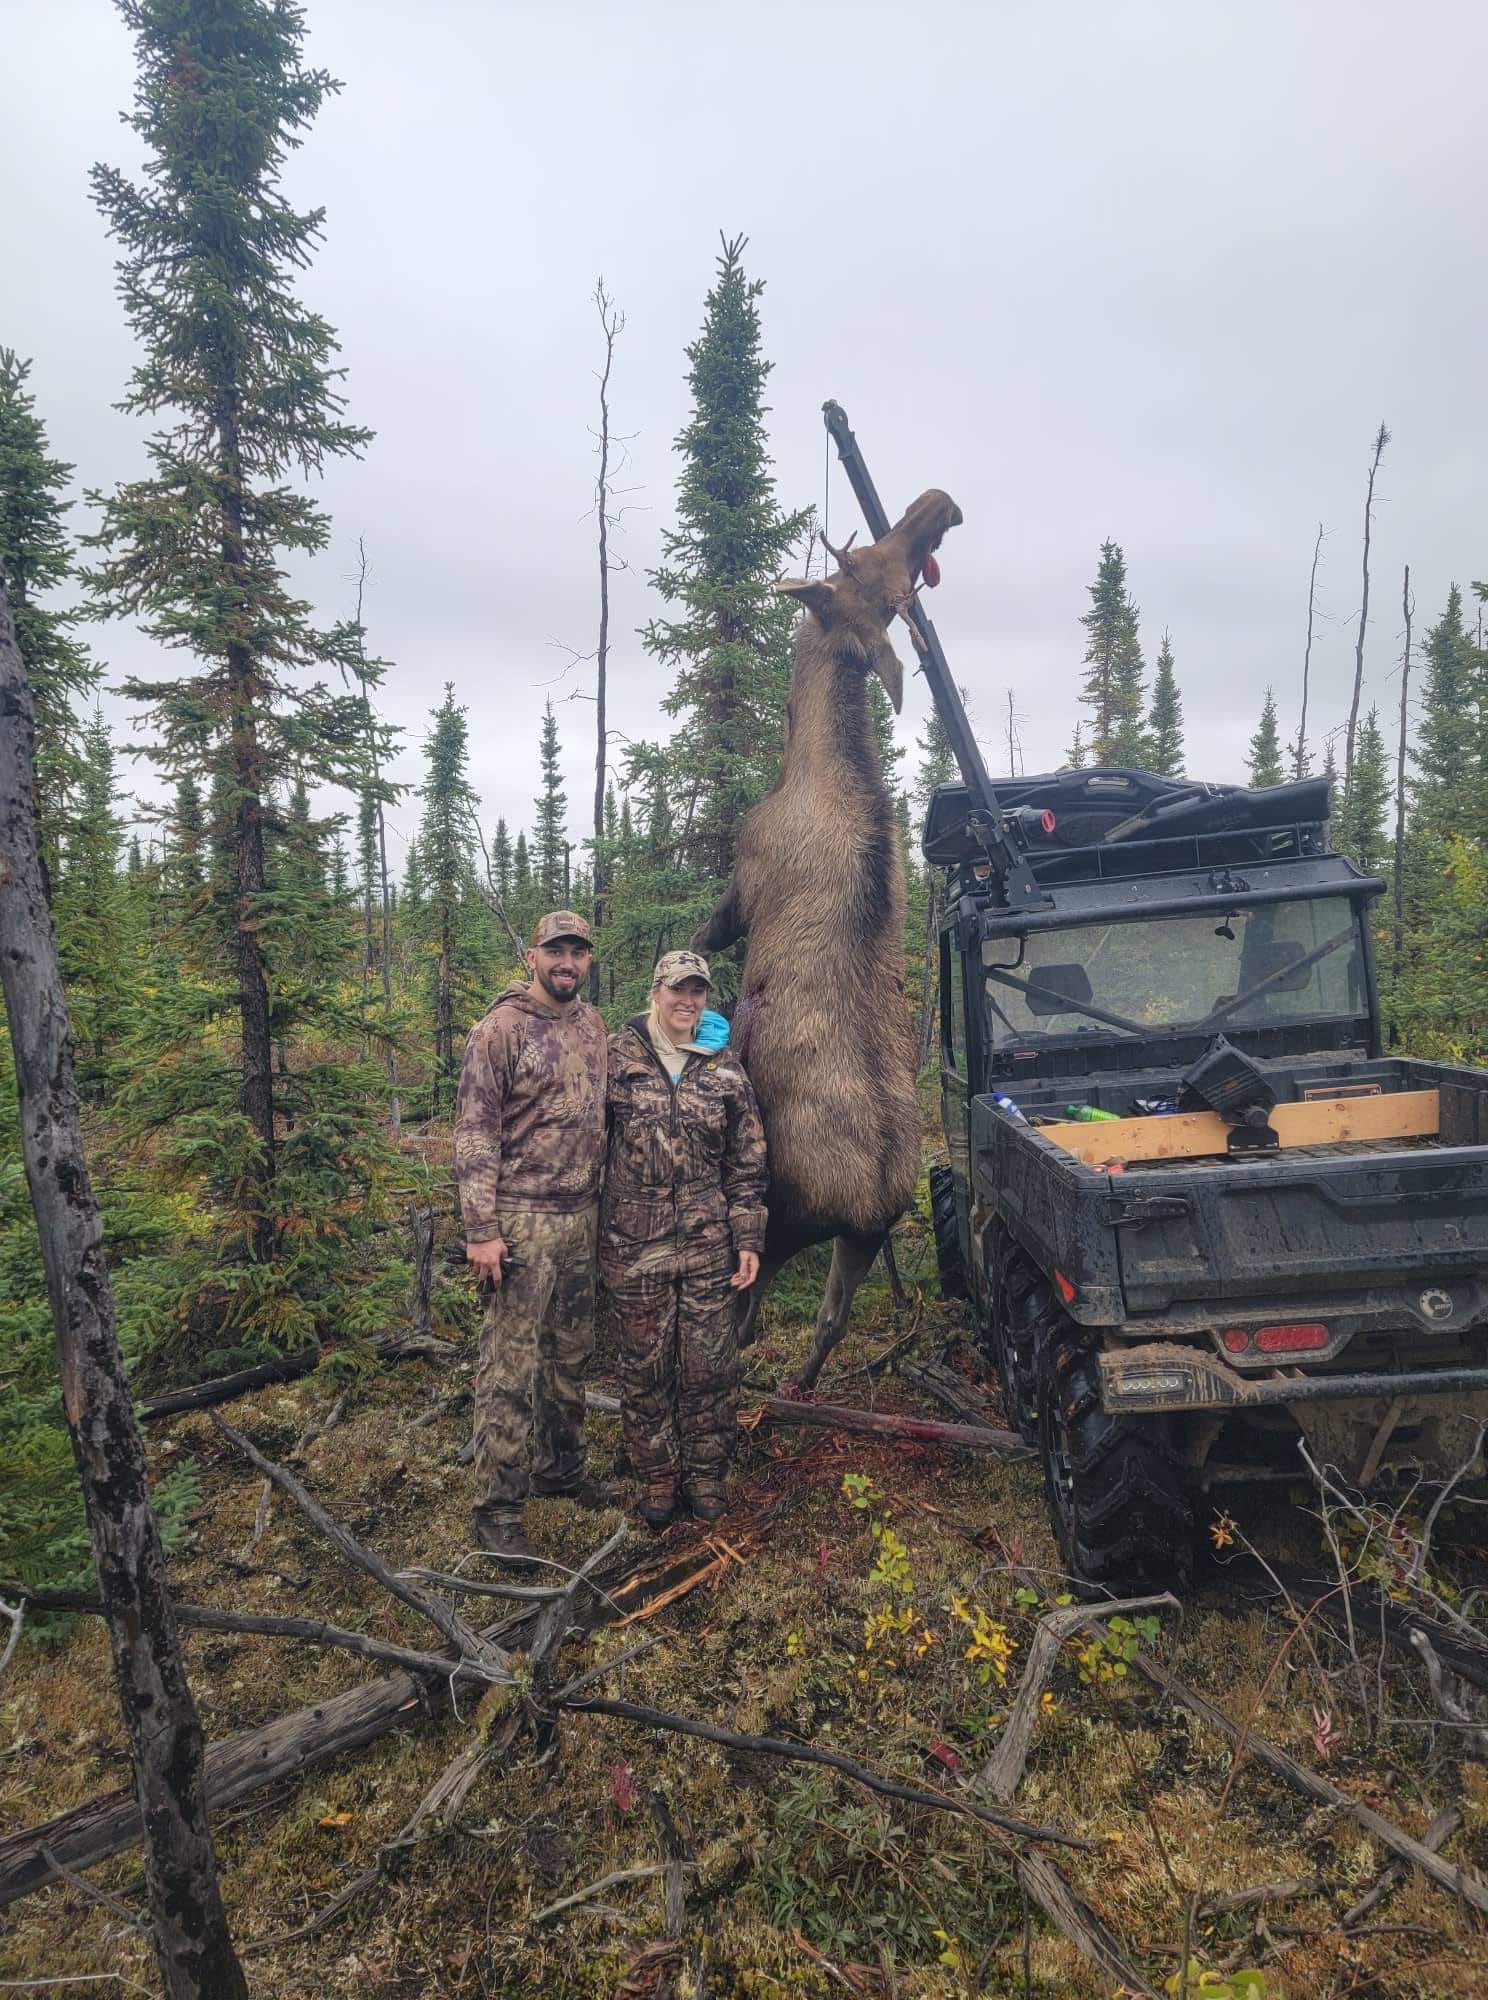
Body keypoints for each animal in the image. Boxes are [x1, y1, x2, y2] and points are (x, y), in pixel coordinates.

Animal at [692, 488, 963, 1389]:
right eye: (884, 580)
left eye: (844, 569)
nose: (937, 506)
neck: (802, 756)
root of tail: (876, 1192)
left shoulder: (742, 883)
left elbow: (703, 933)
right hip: (865, 1235)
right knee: (832, 1318)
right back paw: (799, 1385)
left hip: (782, 1214)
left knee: (747, 1302)